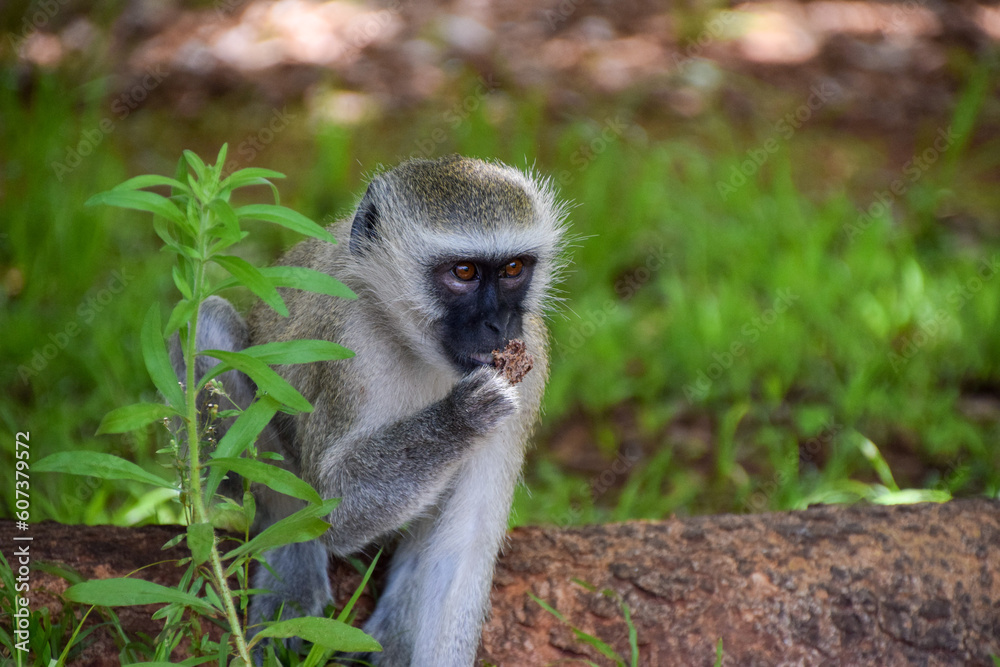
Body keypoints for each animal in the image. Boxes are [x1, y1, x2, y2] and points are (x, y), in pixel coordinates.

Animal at [178, 155, 568, 665]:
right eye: (463, 272)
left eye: (513, 269)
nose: (498, 324)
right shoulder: (350, 340)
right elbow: (329, 505)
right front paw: (461, 416)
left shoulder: (533, 357)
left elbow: (464, 553)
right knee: (209, 323)